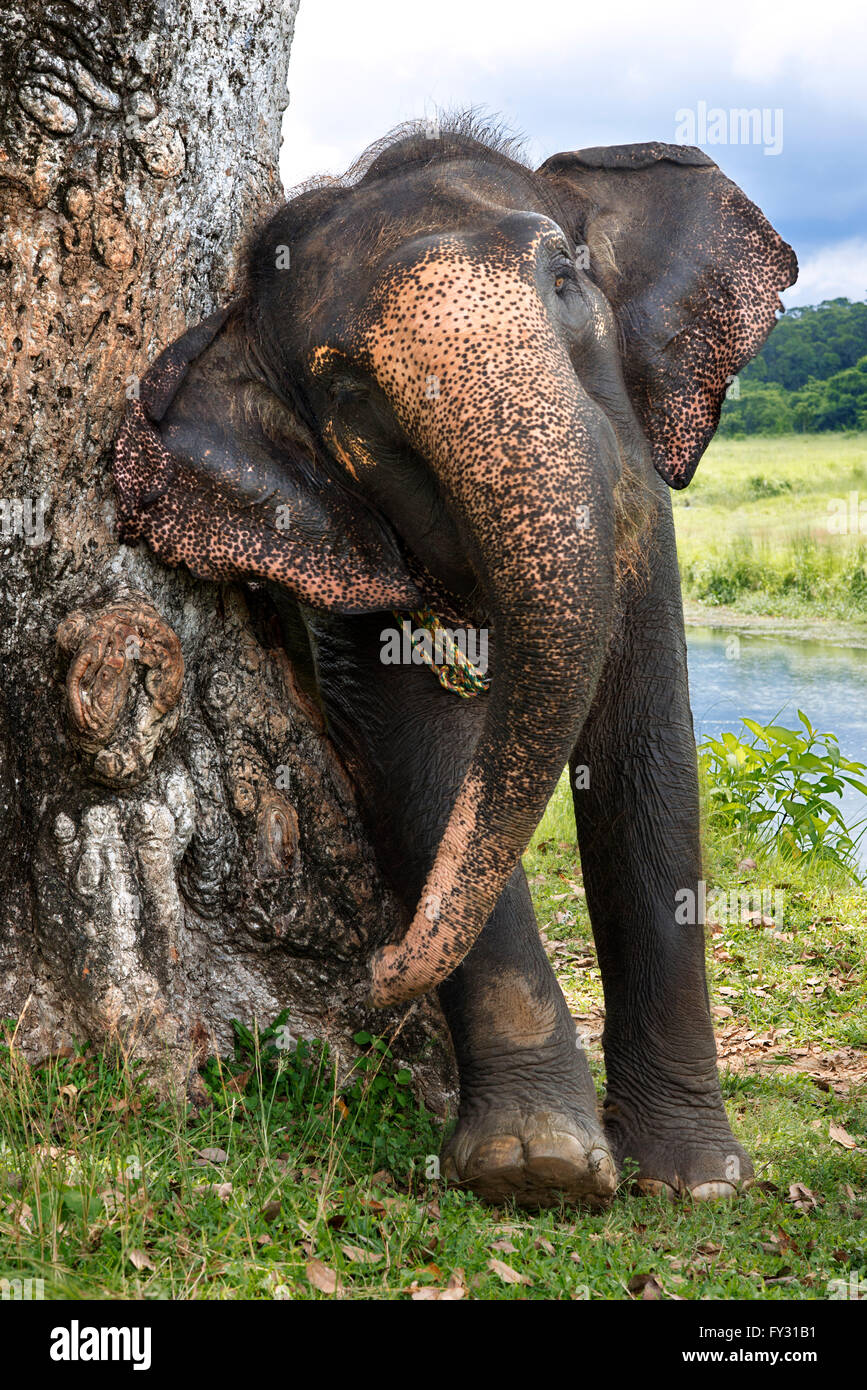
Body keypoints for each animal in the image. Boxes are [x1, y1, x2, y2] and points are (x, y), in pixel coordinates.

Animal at [113, 115, 797, 1208]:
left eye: (562, 277)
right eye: (348, 389)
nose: (380, 969)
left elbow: (647, 738)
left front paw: (696, 1181)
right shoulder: (335, 546)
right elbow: (418, 746)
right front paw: (541, 1168)